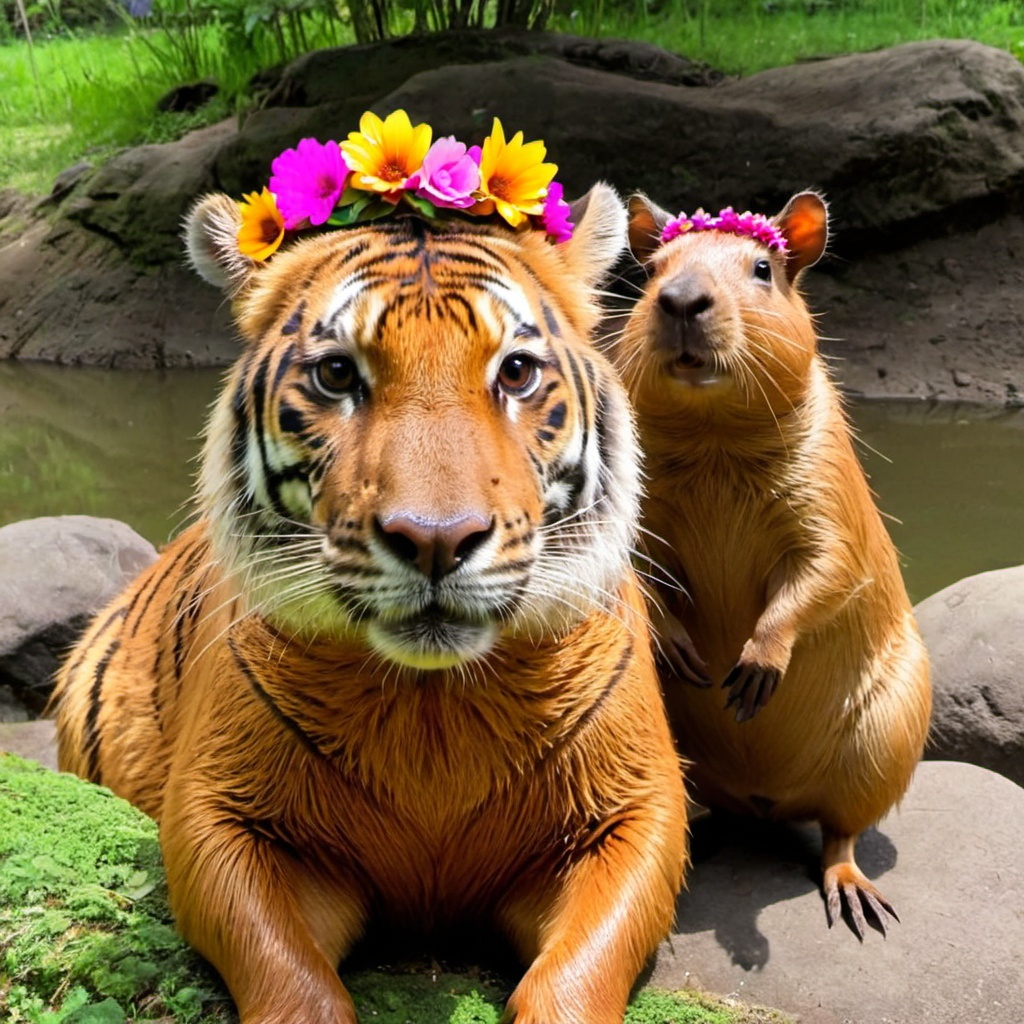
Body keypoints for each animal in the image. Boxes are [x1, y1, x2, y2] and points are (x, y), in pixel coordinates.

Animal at [52, 182, 689, 1024]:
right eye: (336, 375)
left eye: (516, 372)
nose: (435, 540)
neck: (433, 707)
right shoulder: (223, 816)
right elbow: (293, 978)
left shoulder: (632, 811)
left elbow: (575, 974)